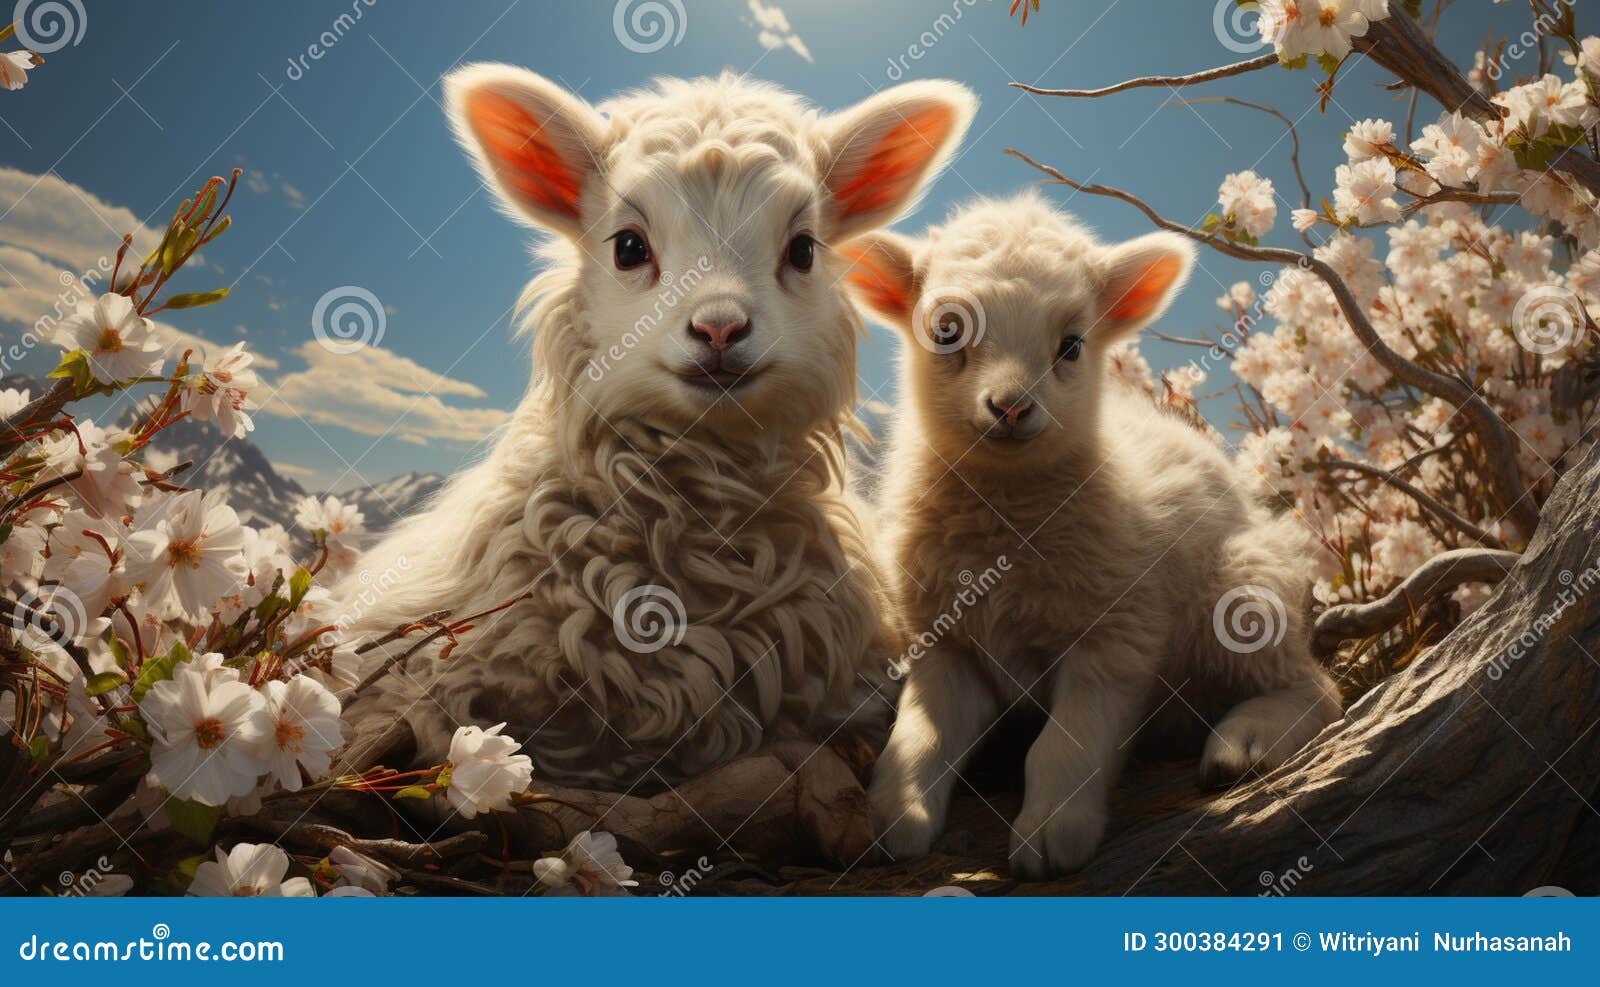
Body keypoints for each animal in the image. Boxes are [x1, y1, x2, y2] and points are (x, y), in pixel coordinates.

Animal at [839, 192, 1342, 877]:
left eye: (1072, 345)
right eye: (946, 331)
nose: (1011, 406)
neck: (1005, 519)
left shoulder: (1114, 639)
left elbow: (1064, 745)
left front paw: (1052, 834)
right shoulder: (946, 647)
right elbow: (920, 737)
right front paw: (894, 818)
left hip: (1242, 595)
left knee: (1318, 689)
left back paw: (1247, 742)